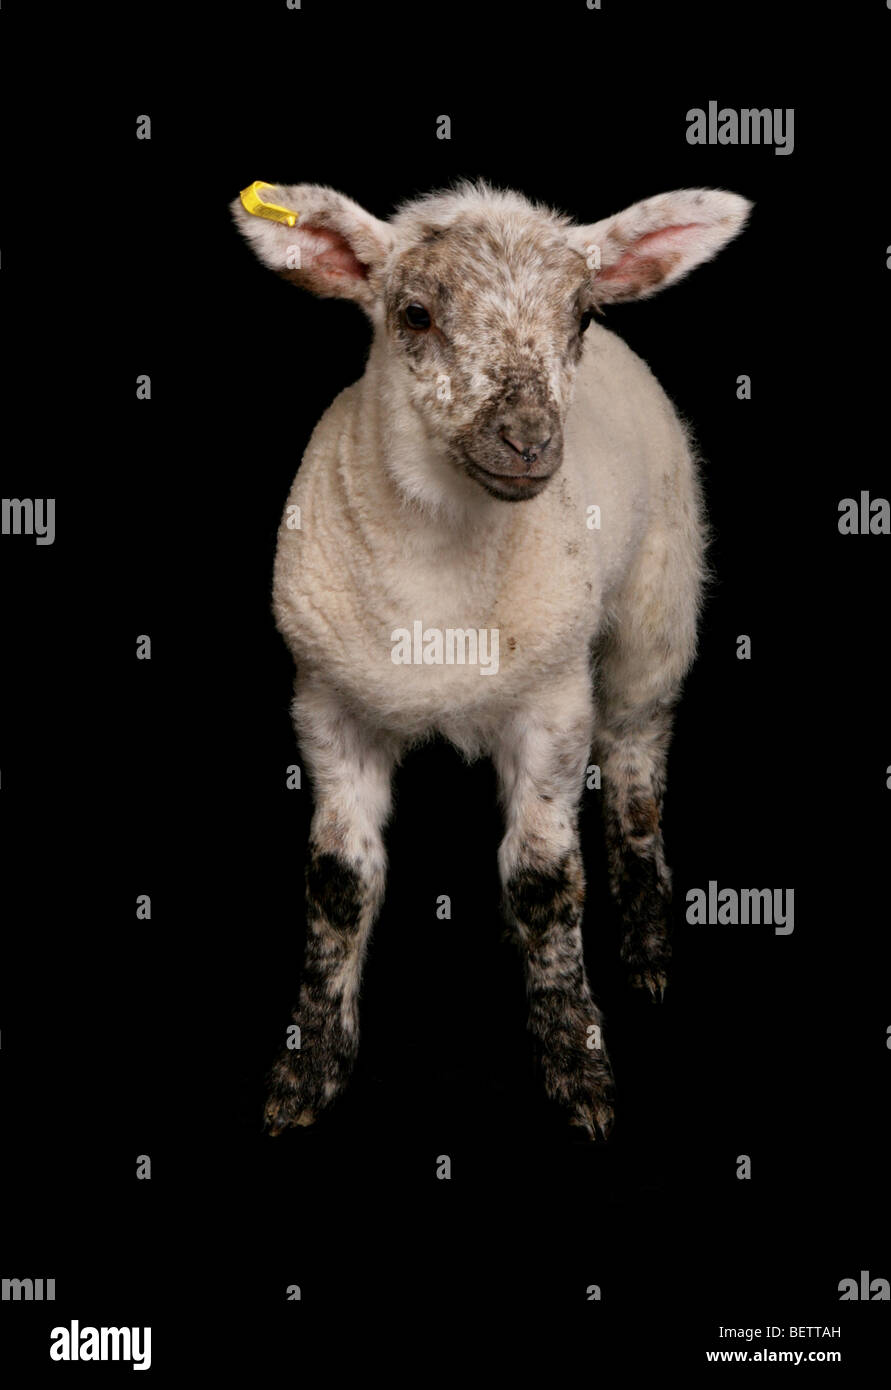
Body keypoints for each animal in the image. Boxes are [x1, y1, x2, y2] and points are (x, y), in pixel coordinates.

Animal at [231, 178, 750, 1140]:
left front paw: (576, 1058)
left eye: (577, 316)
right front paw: (307, 1068)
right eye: (416, 314)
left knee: (636, 764)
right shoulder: (326, 706)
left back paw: (646, 940)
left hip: (656, 605)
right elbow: (338, 883)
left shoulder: (552, 705)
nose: (528, 439)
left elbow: (545, 880)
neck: (440, 577)